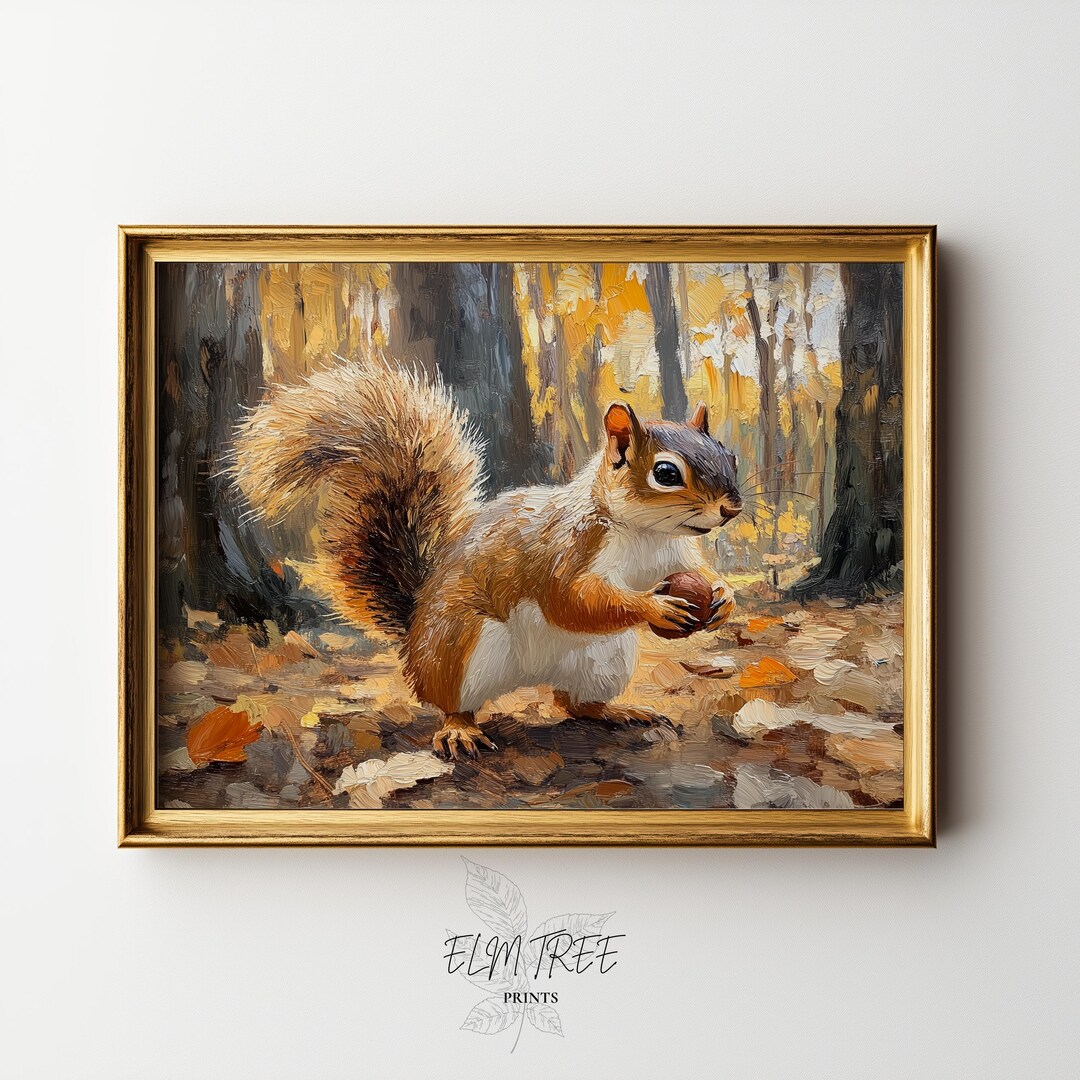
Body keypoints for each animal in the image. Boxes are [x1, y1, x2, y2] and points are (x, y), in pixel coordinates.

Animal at [232, 361, 742, 758]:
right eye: (666, 473)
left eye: (729, 455)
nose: (731, 509)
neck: (645, 533)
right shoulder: (564, 550)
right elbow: (571, 600)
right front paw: (655, 606)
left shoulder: (675, 554)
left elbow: (697, 574)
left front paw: (724, 596)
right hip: (460, 644)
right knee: (452, 702)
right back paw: (459, 730)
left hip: (604, 659)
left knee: (574, 703)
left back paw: (619, 710)